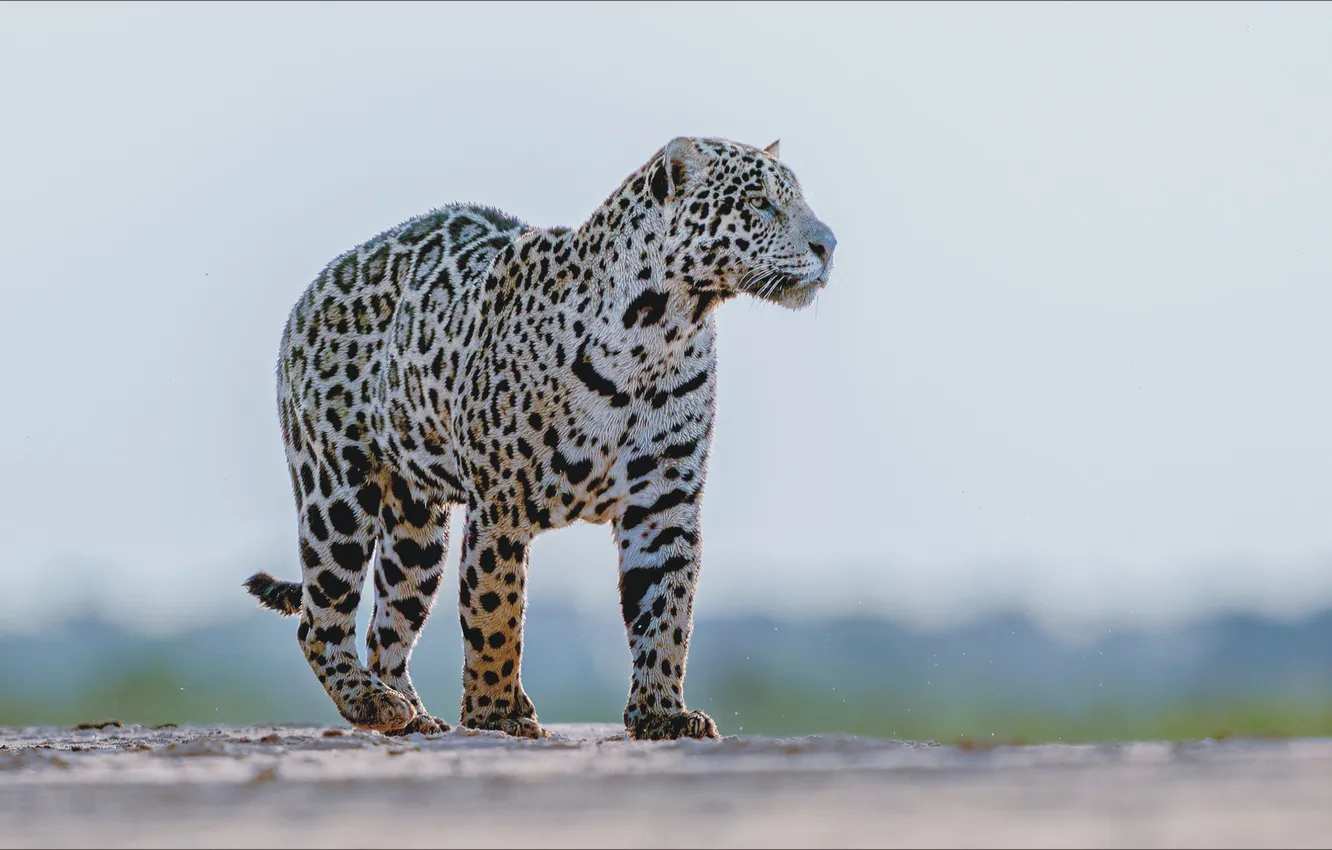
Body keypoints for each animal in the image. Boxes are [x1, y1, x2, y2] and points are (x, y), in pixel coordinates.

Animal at [244, 136, 837, 741]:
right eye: (760, 203)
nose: (829, 244)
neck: (665, 329)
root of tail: (315, 287)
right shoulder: (500, 507)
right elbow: (496, 614)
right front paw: (497, 714)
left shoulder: (664, 503)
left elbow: (667, 613)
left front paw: (661, 713)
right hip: (338, 493)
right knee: (319, 619)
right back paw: (370, 702)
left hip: (416, 525)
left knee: (387, 627)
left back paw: (410, 713)